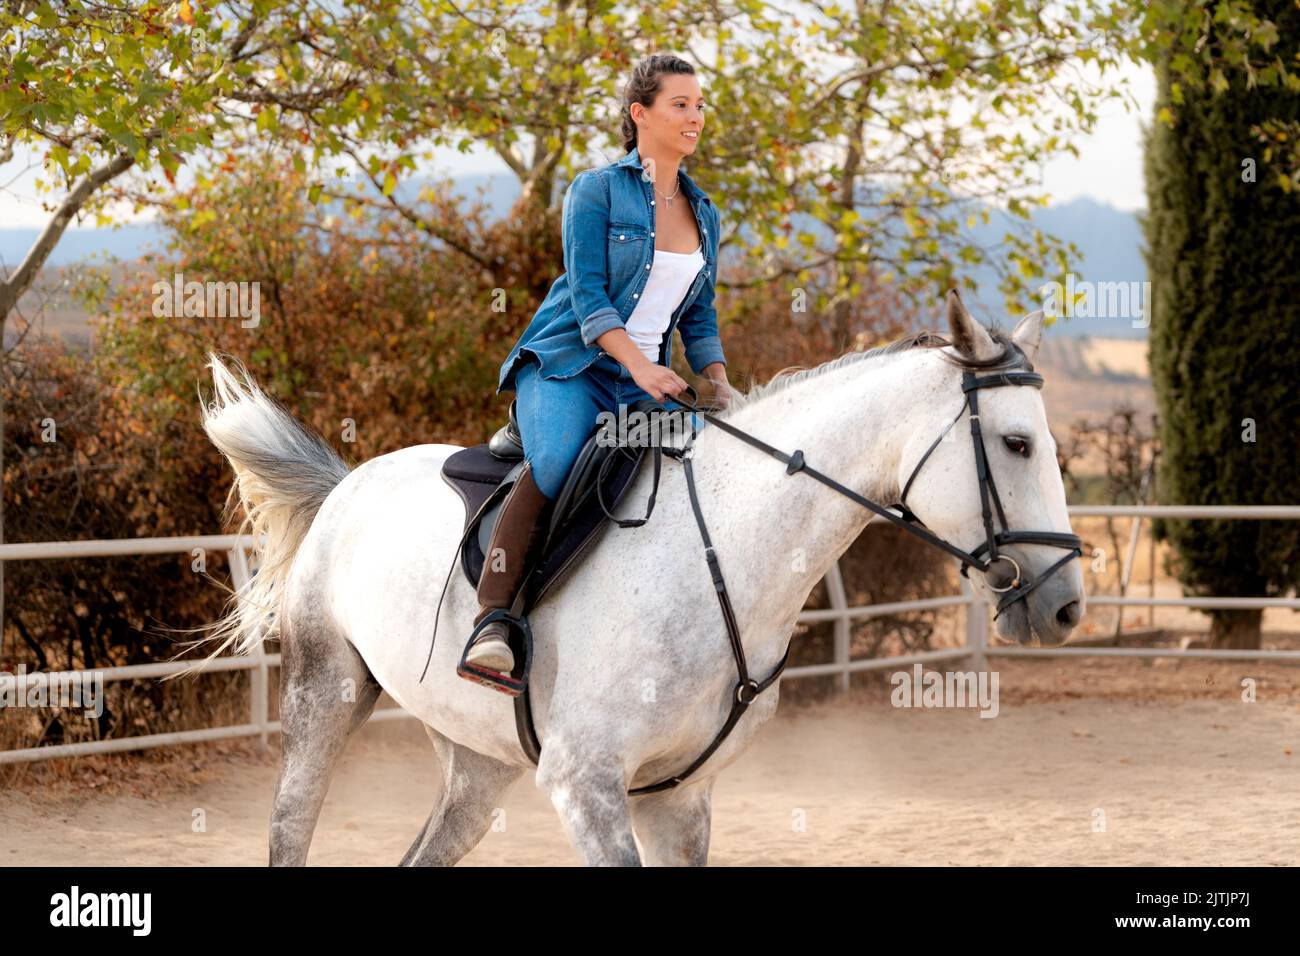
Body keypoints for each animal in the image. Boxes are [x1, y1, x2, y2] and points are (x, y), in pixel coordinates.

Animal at [197, 292, 1085, 865]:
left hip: (476, 757)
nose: (1066, 606)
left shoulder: (677, 799)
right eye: (1015, 444)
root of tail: (350, 483)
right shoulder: (588, 788)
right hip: (325, 696)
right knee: (291, 826)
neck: (724, 555)